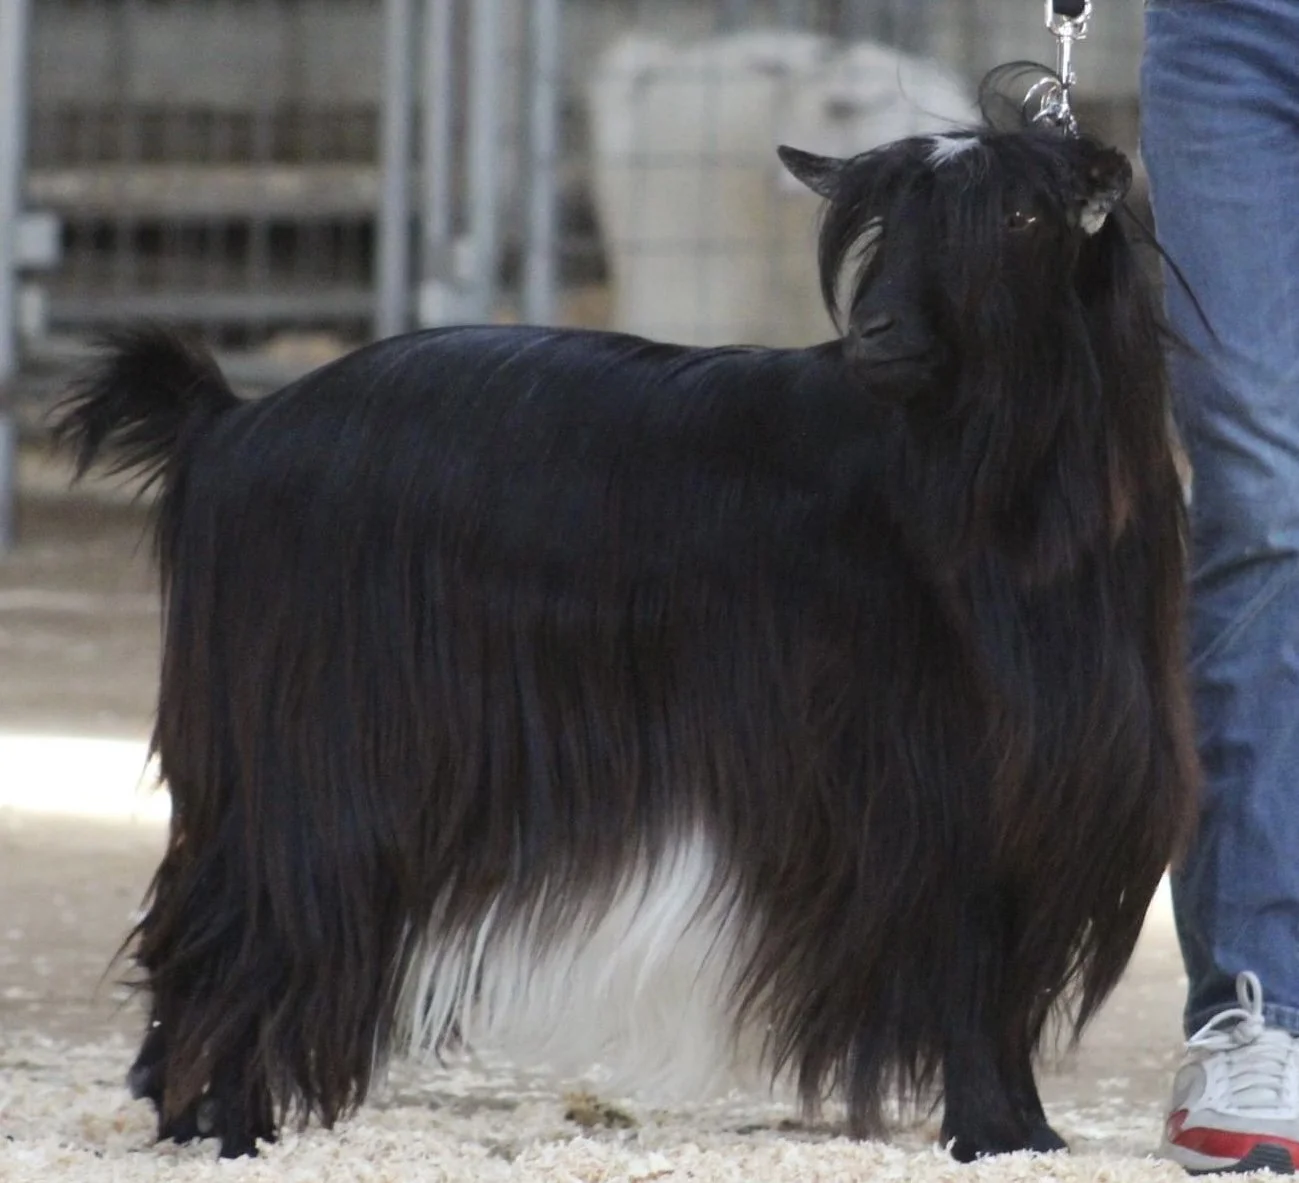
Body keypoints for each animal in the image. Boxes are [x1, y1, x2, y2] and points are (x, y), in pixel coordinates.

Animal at [52, 125, 1198, 1162]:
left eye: (1020, 219)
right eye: (884, 226)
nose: (877, 335)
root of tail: (228, 428)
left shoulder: (1046, 793)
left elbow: (1002, 983)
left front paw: (1028, 1133)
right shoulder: (934, 784)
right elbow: (970, 957)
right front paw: (992, 1134)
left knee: (199, 910)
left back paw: (194, 1114)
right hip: (317, 762)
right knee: (249, 919)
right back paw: (232, 1128)